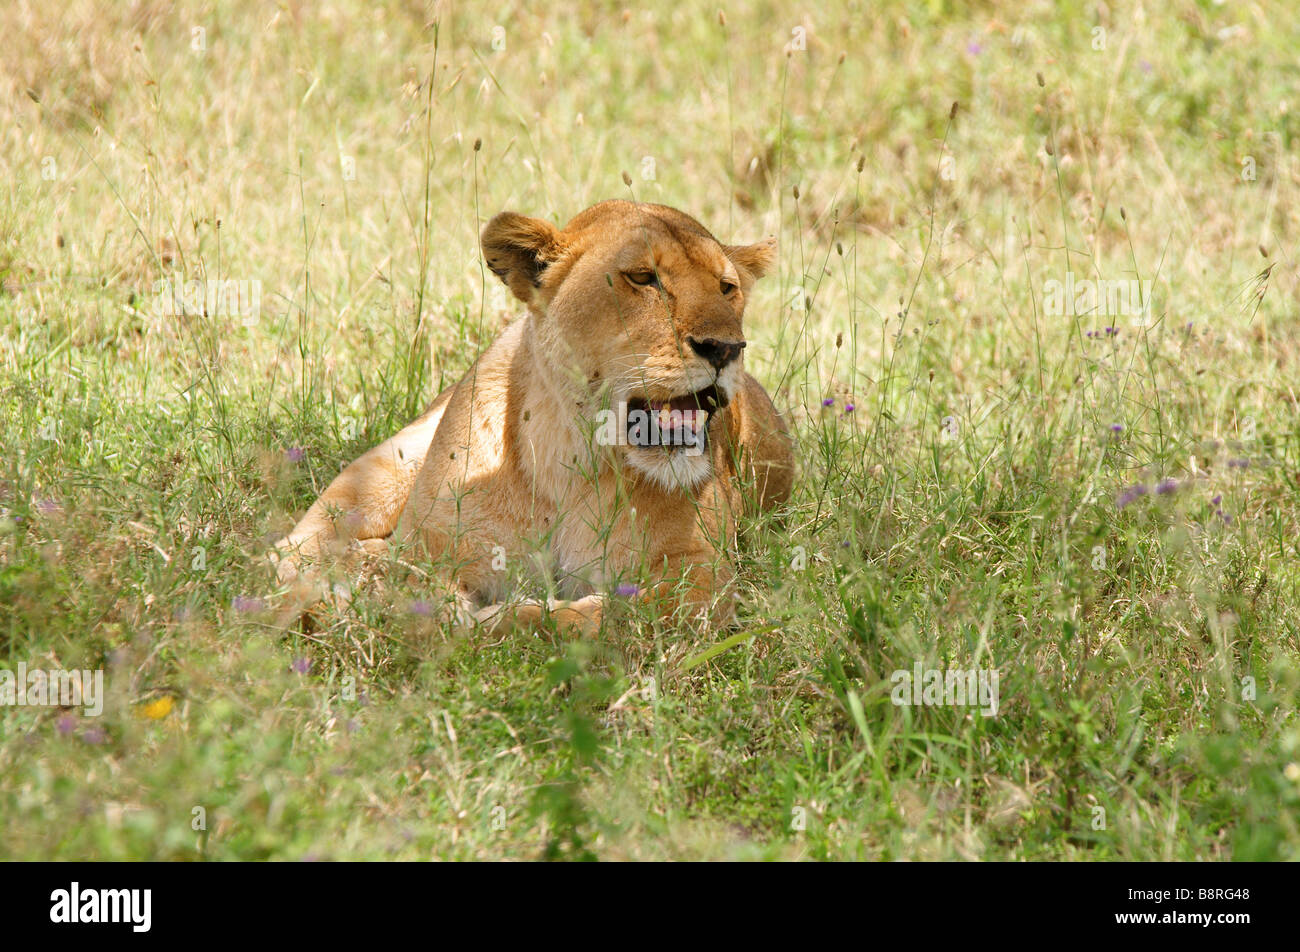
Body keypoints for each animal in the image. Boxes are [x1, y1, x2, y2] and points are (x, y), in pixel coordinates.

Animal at [273, 200, 794, 637]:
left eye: (727, 288)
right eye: (644, 278)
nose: (726, 348)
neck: (574, 456)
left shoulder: (701, 572)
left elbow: (586, 620)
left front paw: (487, 619)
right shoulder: (433, 546)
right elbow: (420, 586)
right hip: (392, 464)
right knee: (292, 549)